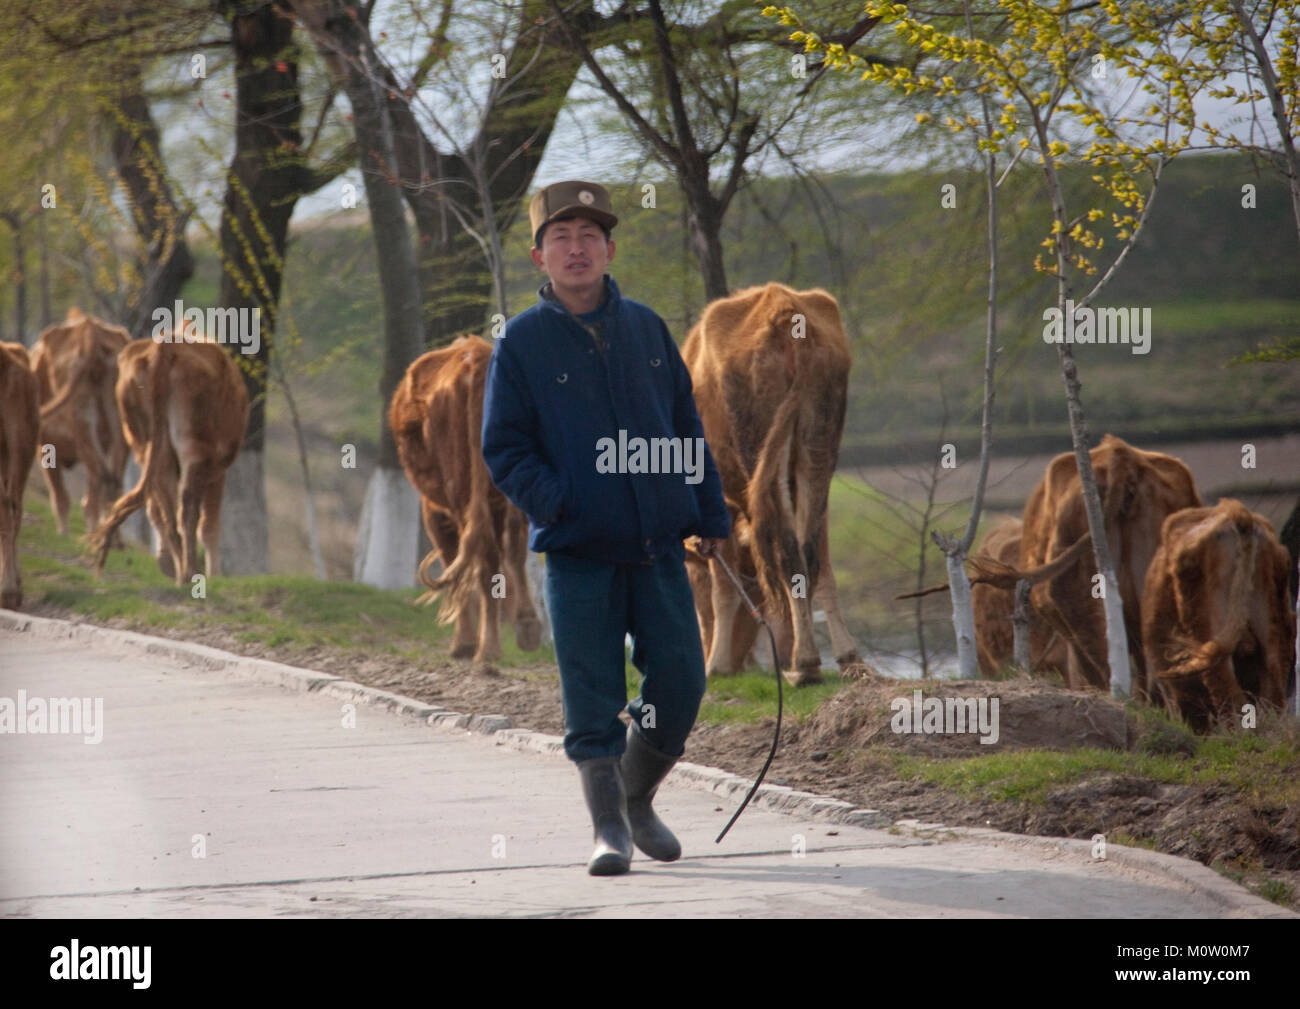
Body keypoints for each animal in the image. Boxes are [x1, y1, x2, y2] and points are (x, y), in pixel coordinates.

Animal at [29, 309, 131, 537]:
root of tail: (90, 334)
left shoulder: (45, 447)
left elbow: (60, 496)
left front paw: (63, 533)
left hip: (81, 423)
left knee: (99, 480)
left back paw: (94, 534)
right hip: (120, 425)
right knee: (113, 482)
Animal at [90, 336, 249, 584]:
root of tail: (163, 348)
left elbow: (155, 508)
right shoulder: (218, 471)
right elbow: (210, 524)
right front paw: (215, 575)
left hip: (150, 446)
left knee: (164, 506)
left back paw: (178, 571)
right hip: (194, 447)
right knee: (188, 510)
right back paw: (191, 572)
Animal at [390, 335, 542, 662]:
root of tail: (475, 358)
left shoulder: (433, 510)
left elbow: (453, 560)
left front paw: (464, 642)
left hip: (460, 493)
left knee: (485, 558)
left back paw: (487, 650)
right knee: (513, 547)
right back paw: (526, 629)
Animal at [681, 283, 859, 686]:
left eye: (693, 587)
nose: (703, 648)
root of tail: (782, 307)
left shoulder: (721, 502)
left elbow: (724, 585)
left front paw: (716, 665)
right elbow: (824, 566)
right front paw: (847, 656)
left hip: (760, 448)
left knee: (788, 550)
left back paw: (805, 663)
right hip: (819, 446)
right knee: (806, 552)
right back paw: (815, 659)